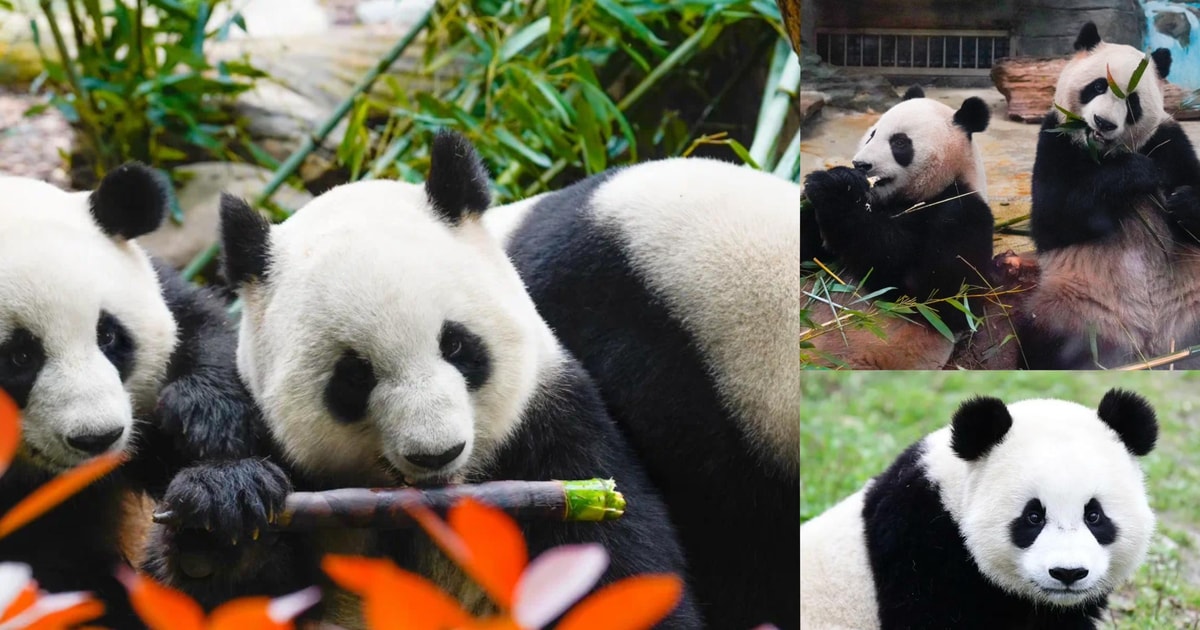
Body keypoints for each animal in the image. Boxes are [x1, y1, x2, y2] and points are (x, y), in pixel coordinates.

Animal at [141, 130, 704, 628]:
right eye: (353, 376)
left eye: (455, 345)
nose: (437, 454)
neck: (438, 509)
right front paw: (222, 513)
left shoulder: (560, 435)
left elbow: (625, 572)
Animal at [801, 86, 995, 369]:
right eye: (872, 134)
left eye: (900, 143)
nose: (861, 165)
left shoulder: (964, 214)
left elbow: (942, 298)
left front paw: (836, 189)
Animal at [1018, 21, 1200, 369]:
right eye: (1098, 85)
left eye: (1132, 102)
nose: (1103, 123)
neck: (1105, 153)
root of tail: (1150, 341)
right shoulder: (1055, 139)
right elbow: (1052, 219)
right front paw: (1136, 173)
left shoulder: (1169, 140)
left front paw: (1182, 202)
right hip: (1077, 306)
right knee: (1044, 335)